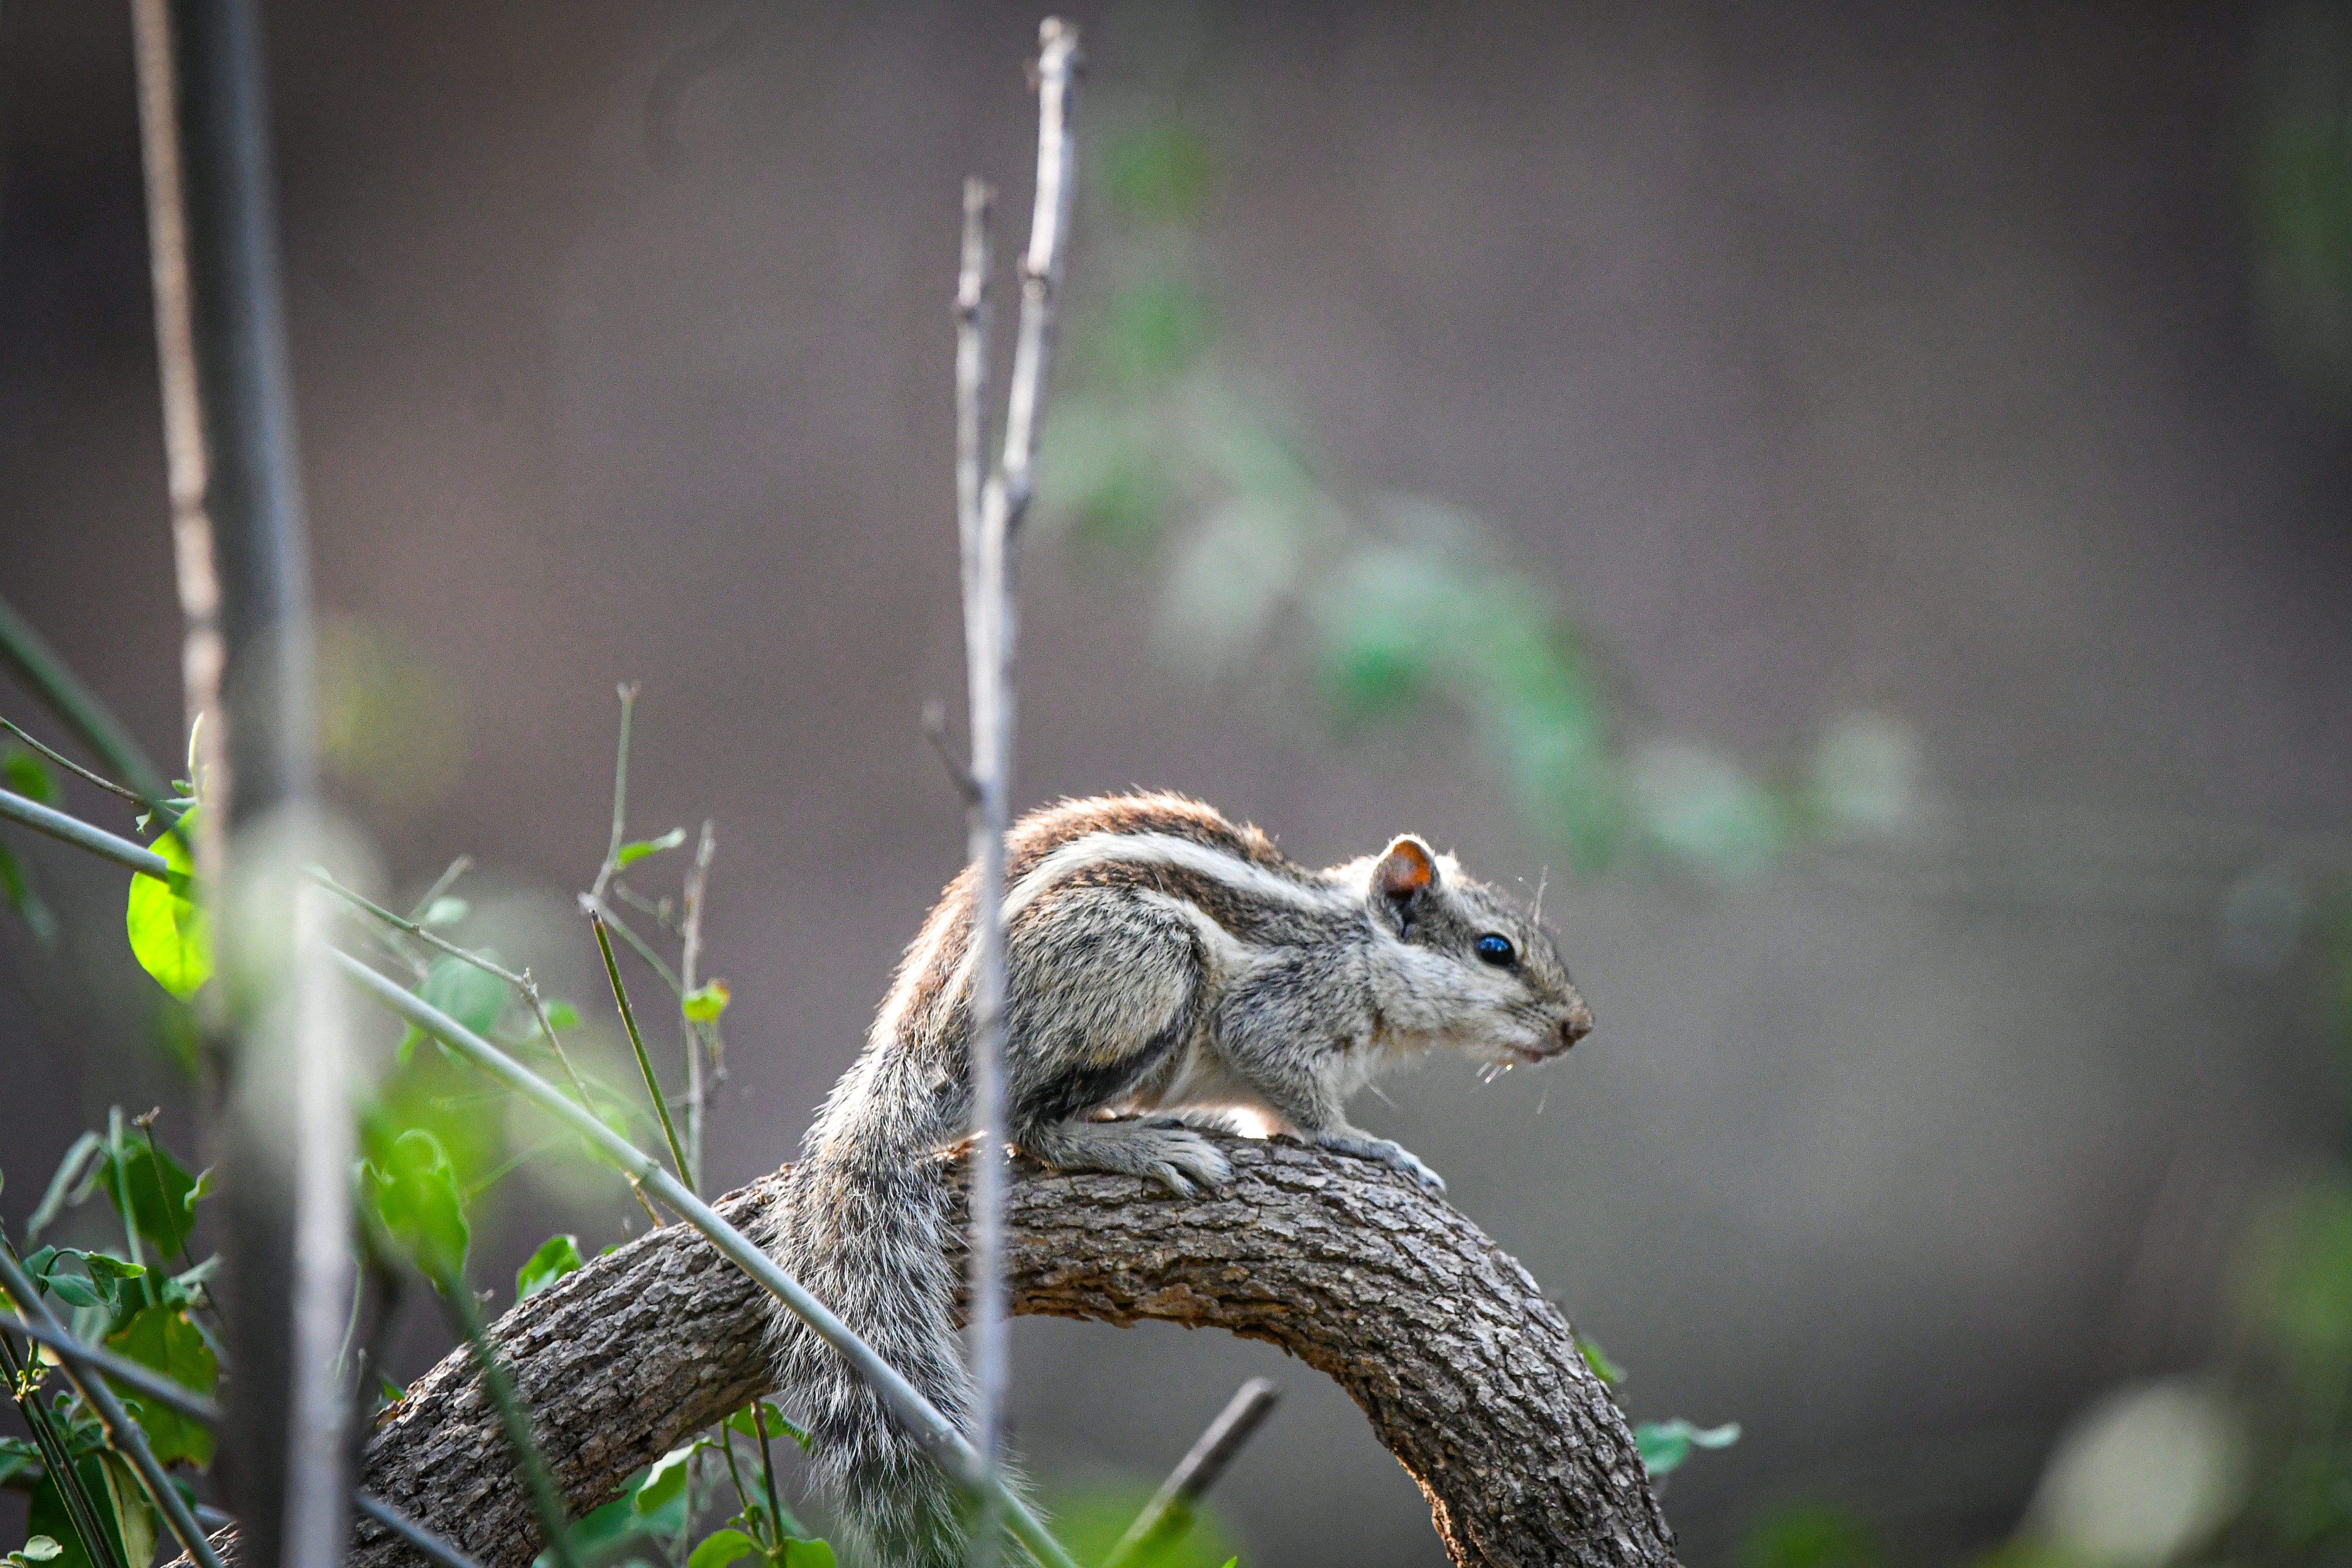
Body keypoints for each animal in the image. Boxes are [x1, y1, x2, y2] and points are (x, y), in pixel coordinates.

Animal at [763, 792, 1593, 1567]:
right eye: (1495, 950)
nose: (1578, 1026)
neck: (1354, 943)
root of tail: (918, 1049)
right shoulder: (1274, 1019)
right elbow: (1302, 1102)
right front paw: (1367, 1144)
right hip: (1151, 964)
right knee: (1029, 1126)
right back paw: (1140, 1144)